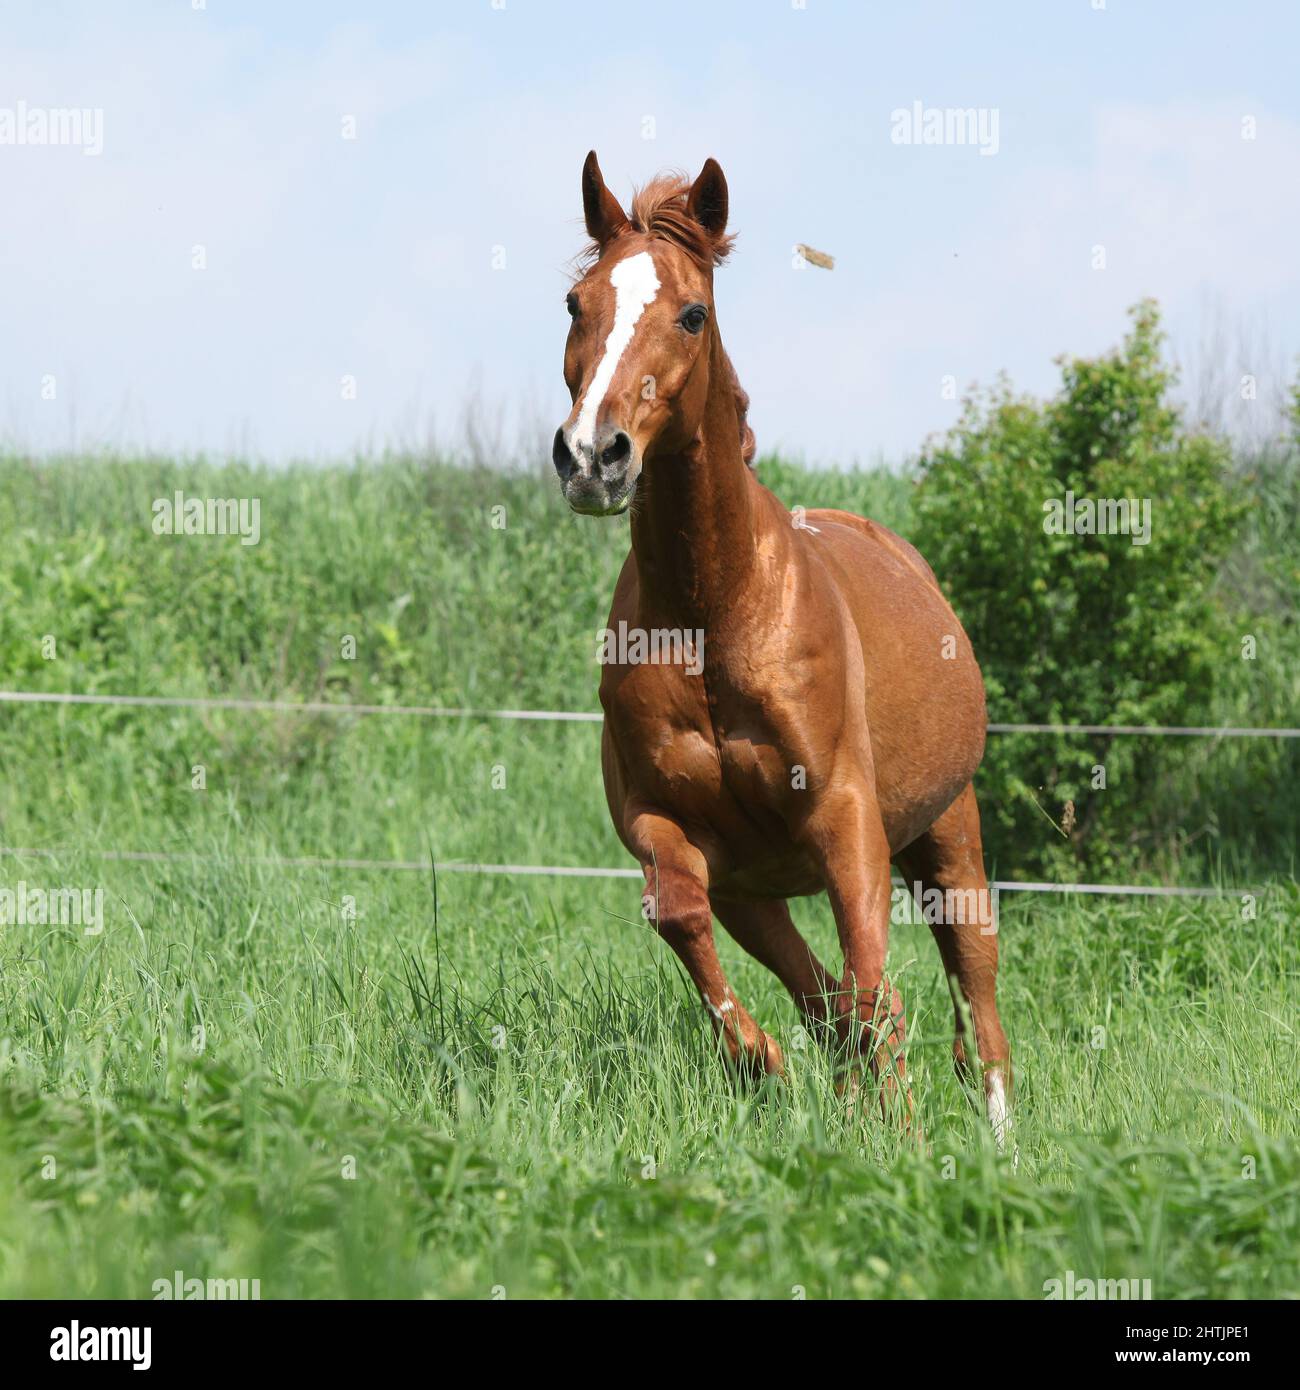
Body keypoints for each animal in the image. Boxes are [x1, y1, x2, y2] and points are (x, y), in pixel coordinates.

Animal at [552, 151, 1011, 1137]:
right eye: (576, 302)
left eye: (692, 313)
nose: (592, 458)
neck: (714, 614)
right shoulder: (670, 830)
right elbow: (684, 918)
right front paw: (763, 1065)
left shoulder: (846, 822)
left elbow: (876, 985)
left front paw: (901, 1130)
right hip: (759, 893)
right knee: (825, 997)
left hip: (948, 828)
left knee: (973, 980)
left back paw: (995, 1130)